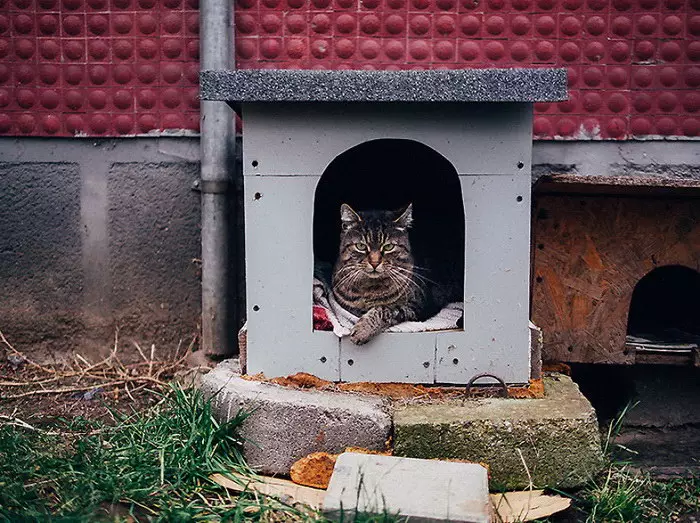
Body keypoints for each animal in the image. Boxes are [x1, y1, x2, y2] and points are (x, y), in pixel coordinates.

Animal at [332, 203, 442, 346]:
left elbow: (385, 309)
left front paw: (363, 329)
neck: (370, 288)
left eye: (388, 247)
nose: (374, 262)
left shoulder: (418, 305)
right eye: (361, 246)